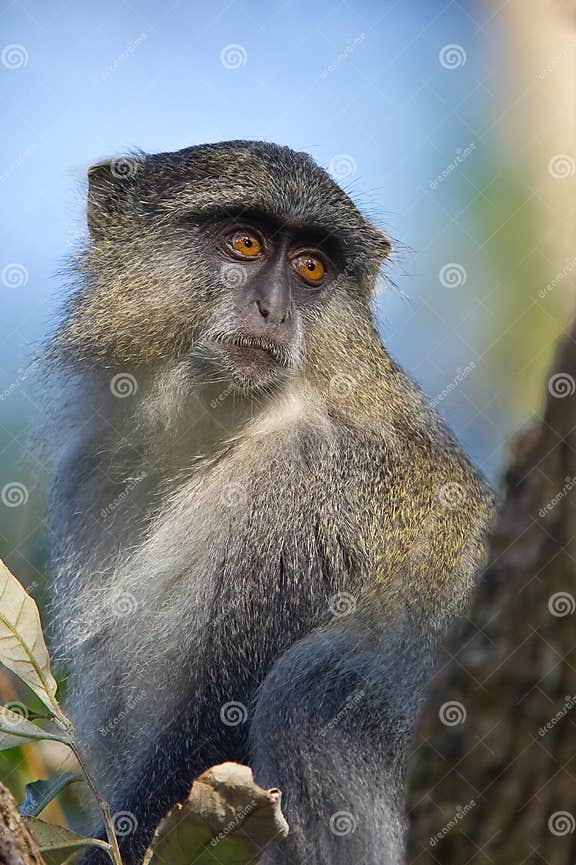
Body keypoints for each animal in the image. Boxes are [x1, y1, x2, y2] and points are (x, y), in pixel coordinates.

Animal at [43, 140, 494, 865]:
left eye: (311, 267)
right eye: (246, 243)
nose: (273, 312)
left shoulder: (309, 483)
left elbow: (217, 725)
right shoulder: (87, 473)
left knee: (313, 695)